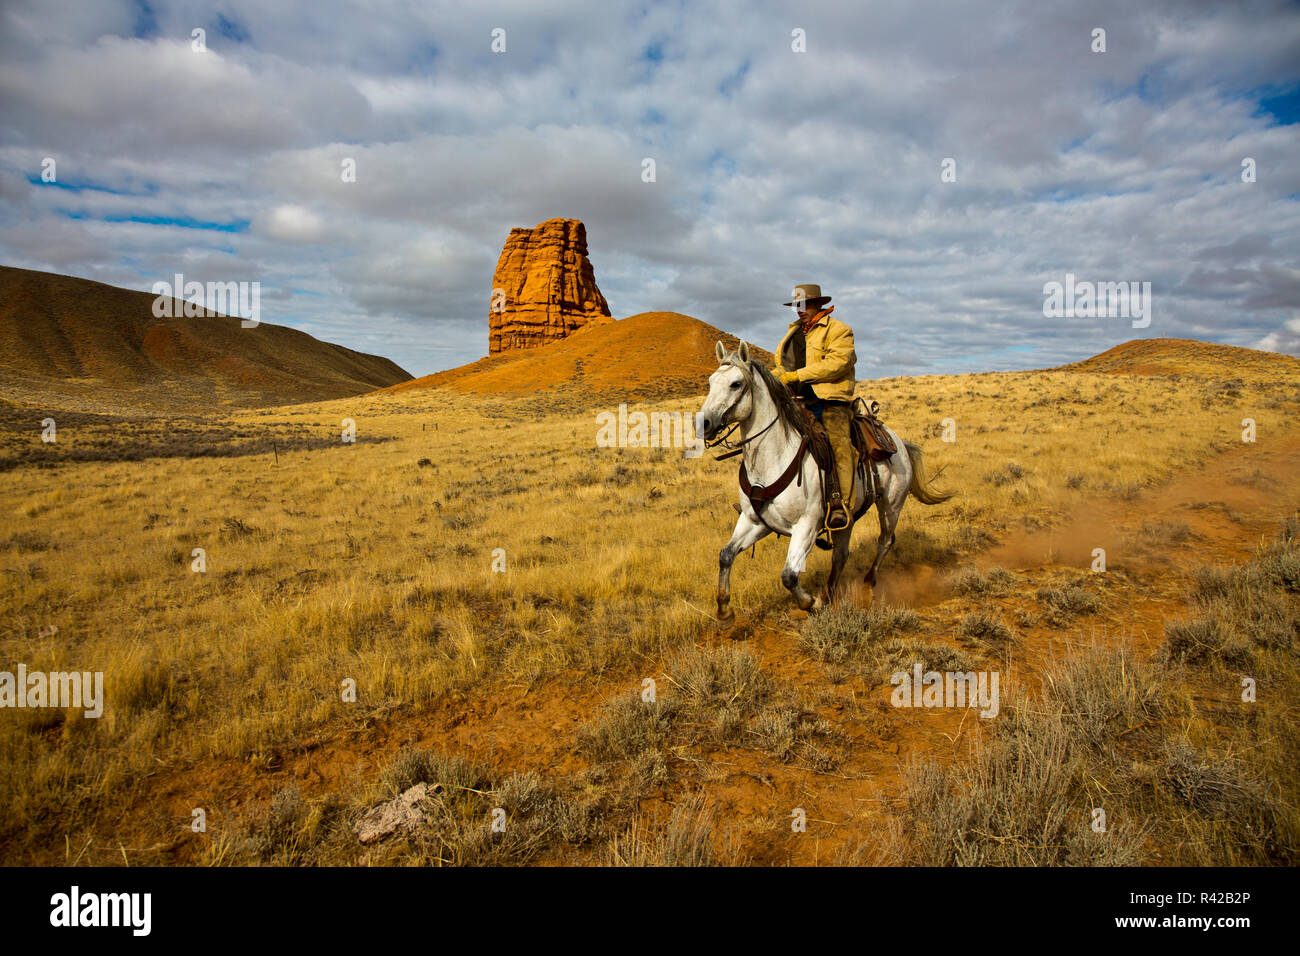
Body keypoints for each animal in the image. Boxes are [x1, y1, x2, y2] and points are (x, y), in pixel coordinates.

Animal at [696, 340, 953, 621]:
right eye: (710, 382)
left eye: (736, 384)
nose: (704, 423)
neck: (774, 458)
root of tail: (899, 442)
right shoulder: (756, 521)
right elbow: (726, 554)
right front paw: (724, 608)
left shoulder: (806, 525)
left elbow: (789, 576)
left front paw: (811, 602)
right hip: (847, 516)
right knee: (841, 554)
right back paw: (830, 595)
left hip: (891, 506)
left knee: (885, 541)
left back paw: (866, 588)